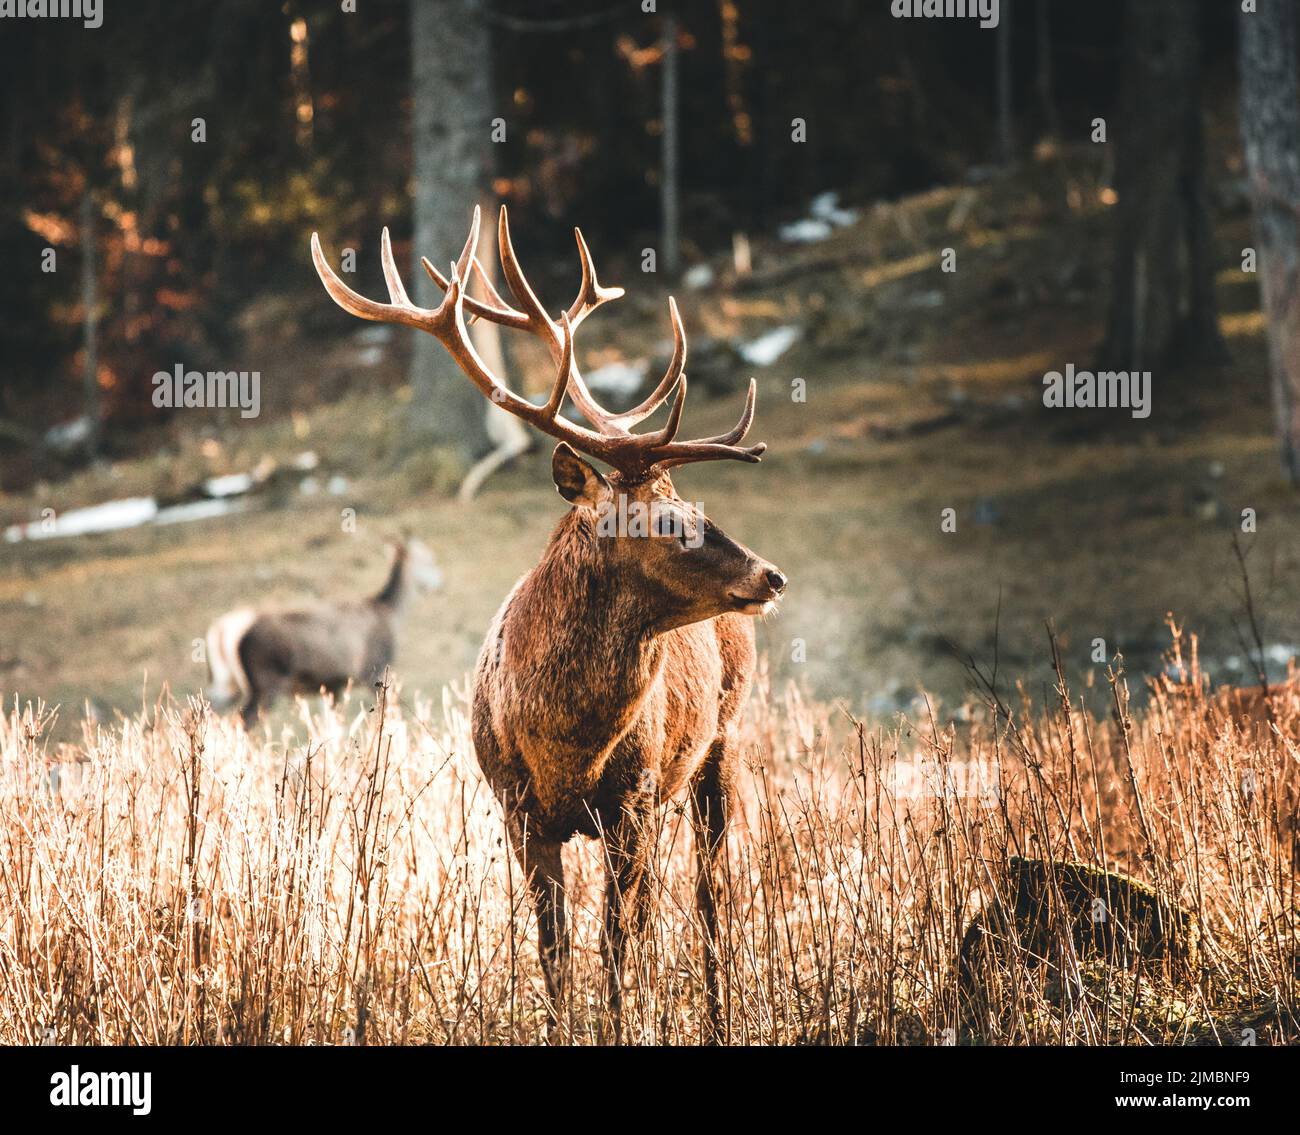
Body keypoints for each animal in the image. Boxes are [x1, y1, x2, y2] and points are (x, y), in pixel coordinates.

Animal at [204, 536, 441, 727]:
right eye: (427, 560)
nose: (439, 580)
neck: (390, 615)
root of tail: (220, 631)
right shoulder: (371, 670)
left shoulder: (330, 685)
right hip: (264, 682)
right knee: (241, 721)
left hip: (227, 683)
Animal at [311, 205, 787, 1042]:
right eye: (668, 520)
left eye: (693, 506)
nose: (770, 573)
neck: (568, 745)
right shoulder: (519, 809)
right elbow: (556, 944)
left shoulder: (634, 802)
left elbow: (619, 940)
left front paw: (624, 1019)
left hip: (721, 740)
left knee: (709, 895)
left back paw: (721, 1010)